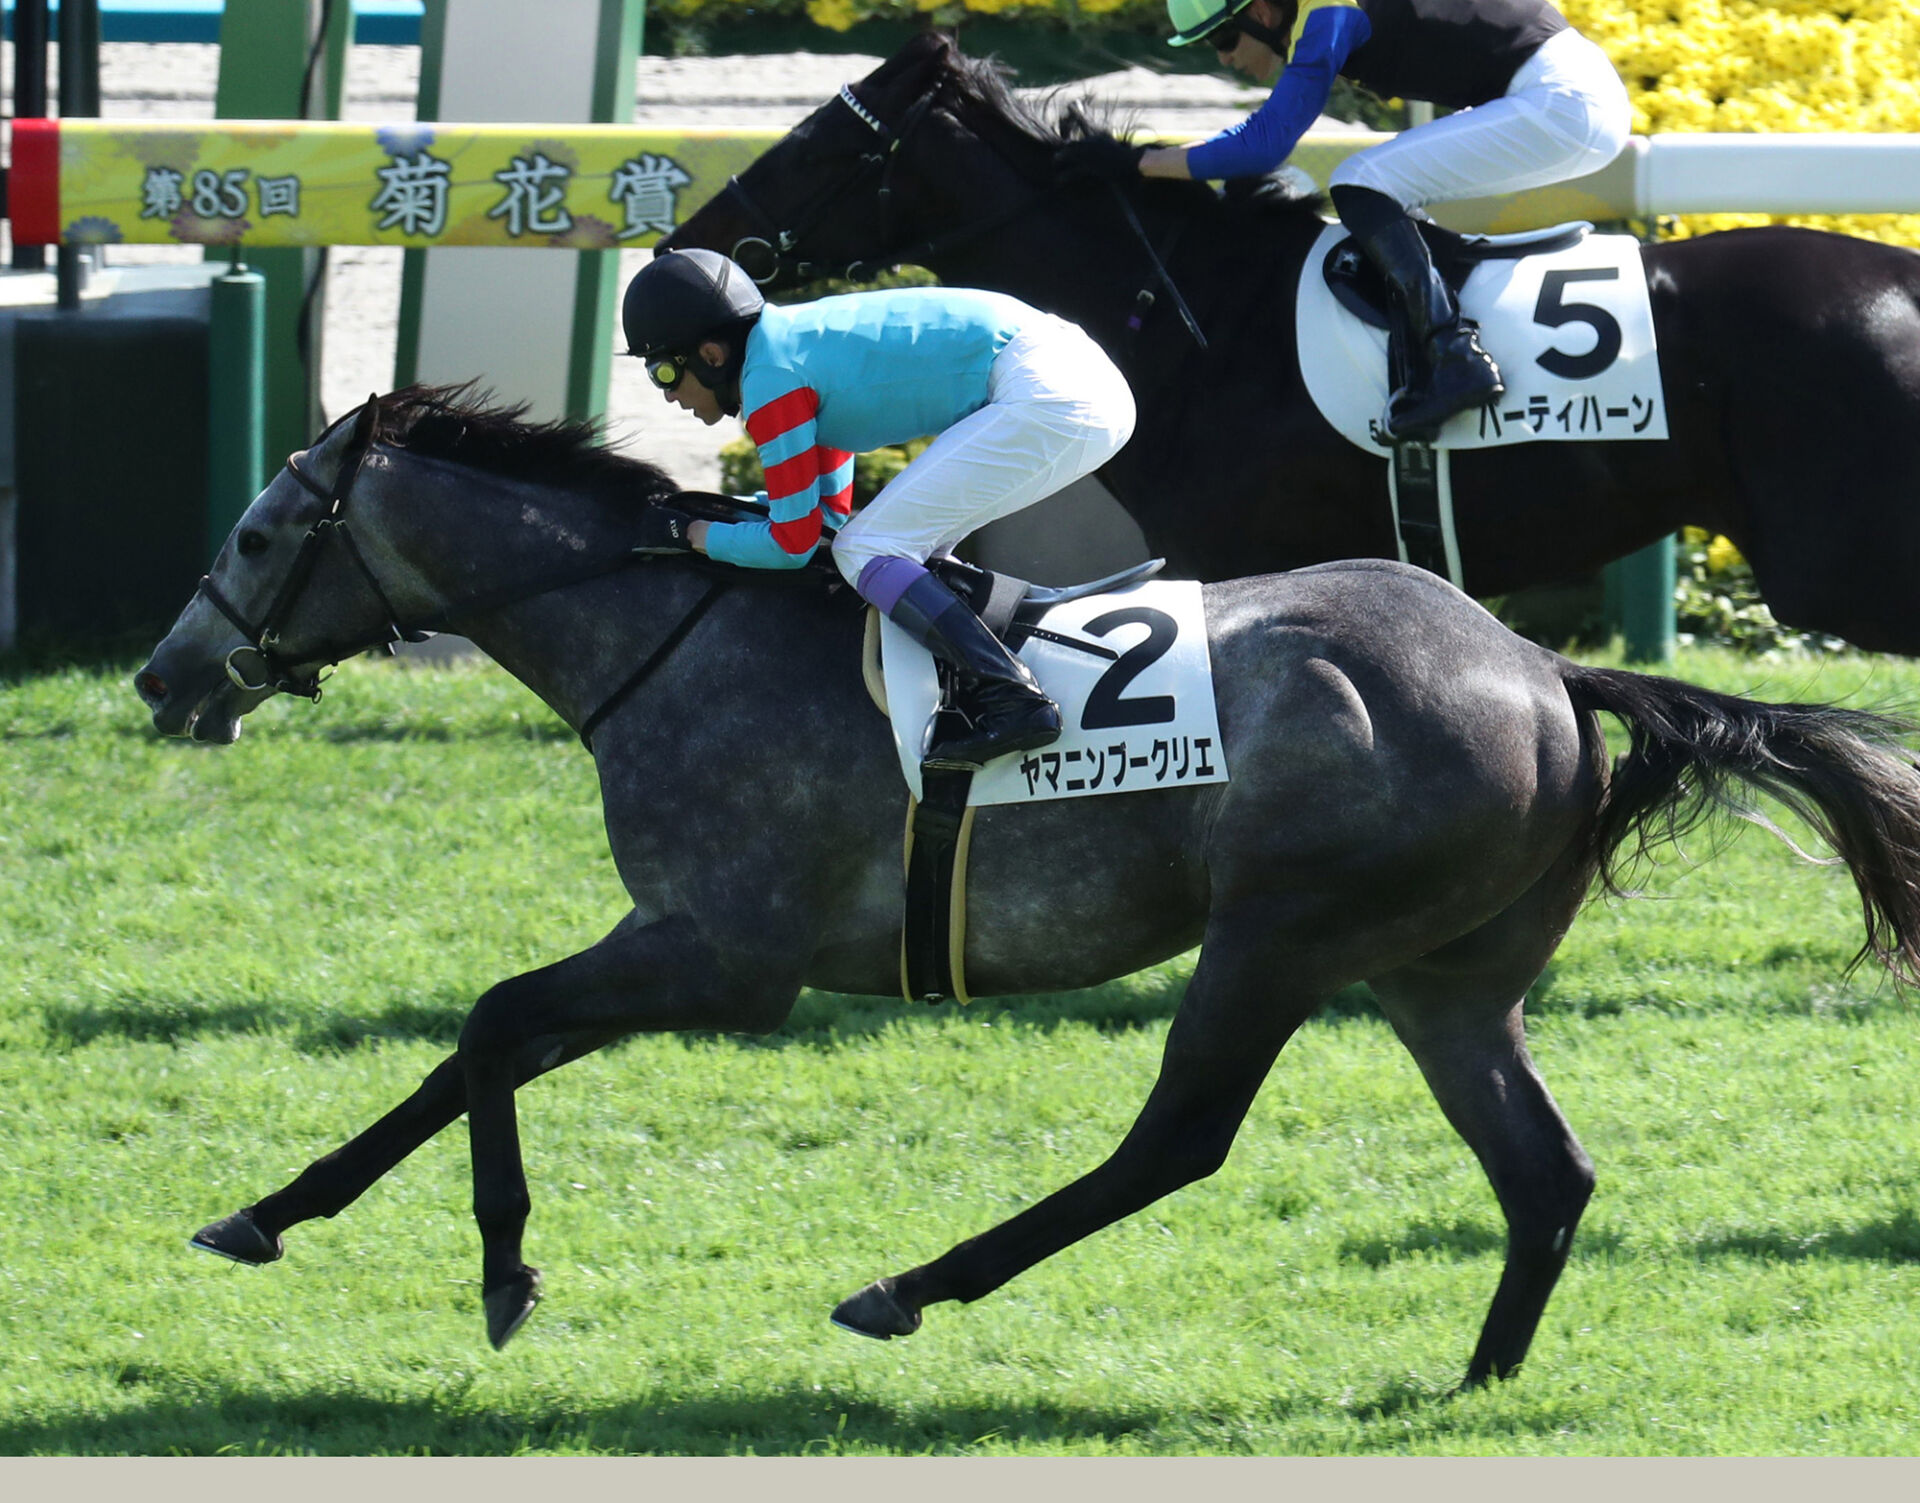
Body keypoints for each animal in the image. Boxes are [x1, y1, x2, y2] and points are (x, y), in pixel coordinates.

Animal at [134, 386, 1920, 1388]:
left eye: (258, 531)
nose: (166, 675)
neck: (662, 628)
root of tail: (1547, 667)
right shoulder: (686, 949)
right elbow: (476, 1041)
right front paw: (270, 1211)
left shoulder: (722, 954)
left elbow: (495, 1019)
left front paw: (503, 1269)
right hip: (1447, 978)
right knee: (1544, 1173)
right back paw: (1476, 1381)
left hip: (1281, 935)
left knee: (1176, 1141)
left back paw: (907, 1285)